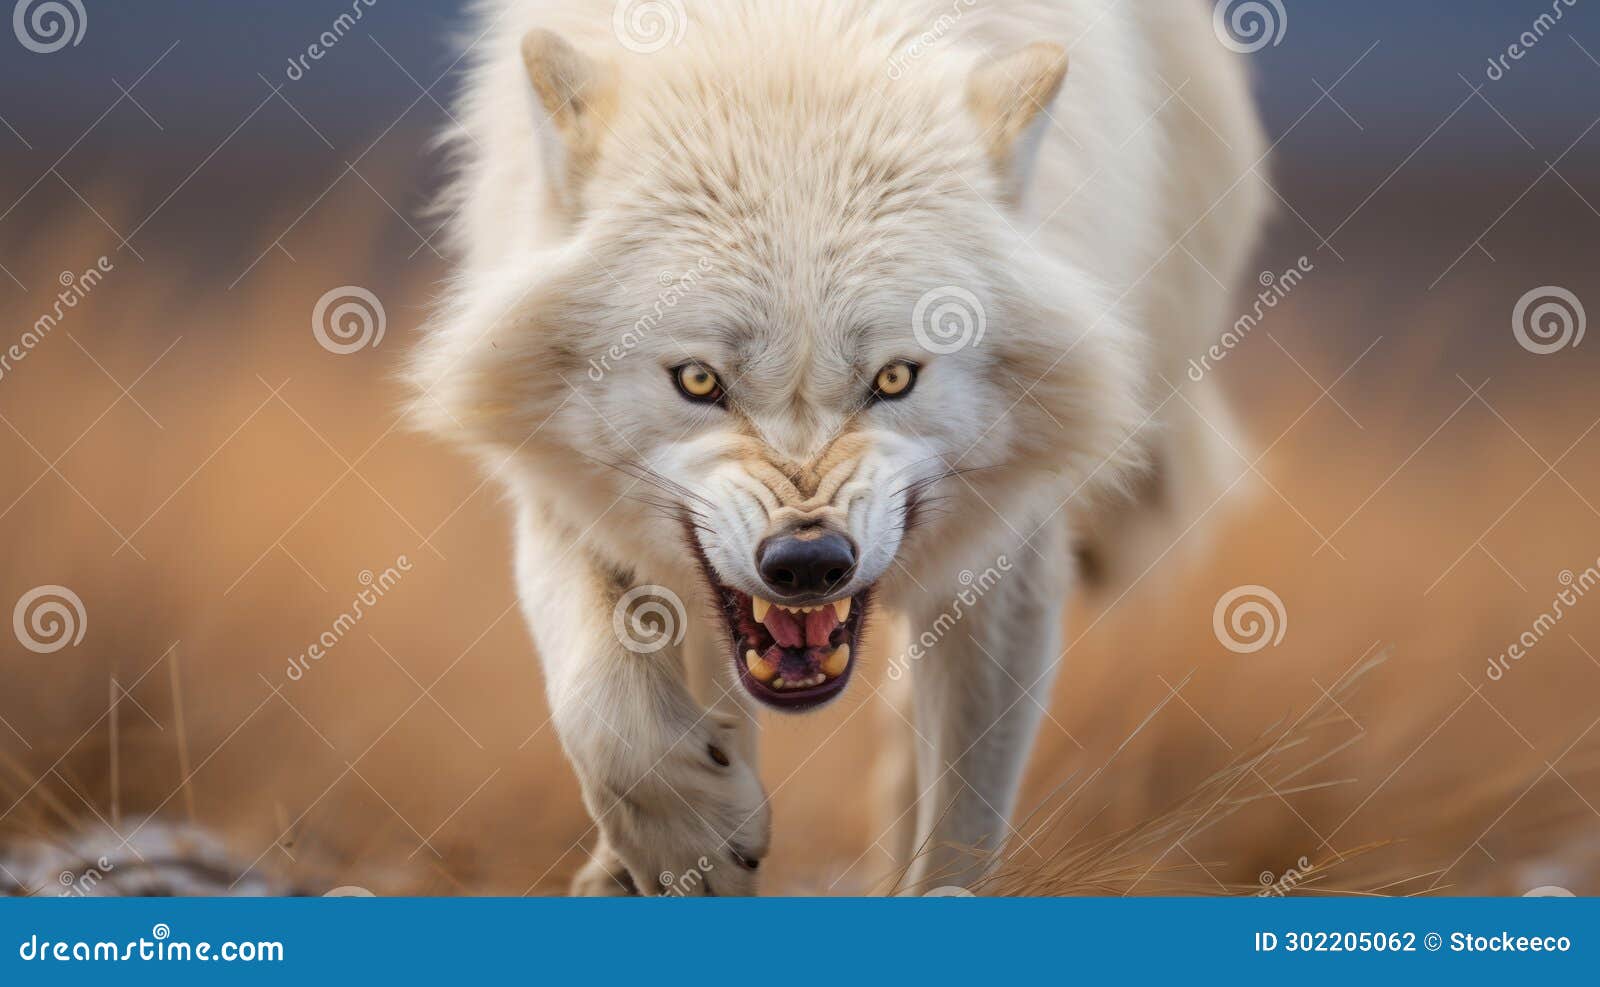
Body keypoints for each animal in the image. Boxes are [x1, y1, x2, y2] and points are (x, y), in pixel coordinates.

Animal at [410, 0, 1269, 894]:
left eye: (894, 378)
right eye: (698, 380)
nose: (807, 562)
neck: (793, 32)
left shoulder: (1016, 546)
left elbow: (960, 829)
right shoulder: (554, 486)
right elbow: (603, 708)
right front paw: (692, 844)